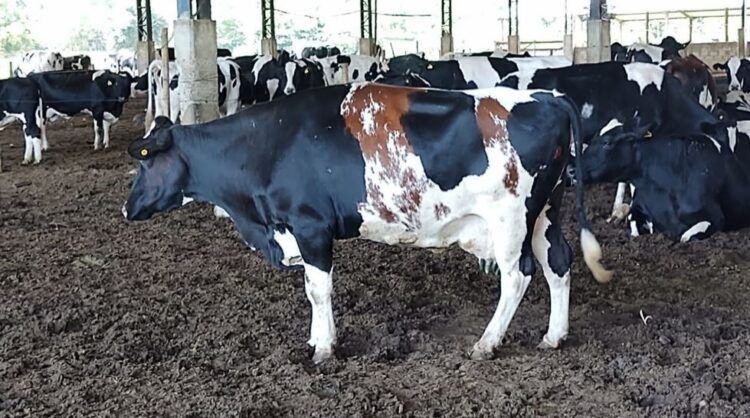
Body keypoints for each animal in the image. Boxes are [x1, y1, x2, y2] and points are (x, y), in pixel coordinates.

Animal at [122, 84, 612, 364]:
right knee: (559, 262)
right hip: (545, 210)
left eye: (145, 161)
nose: (127, 209)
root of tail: (548, 96)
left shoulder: (311, 227)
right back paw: (554, 336)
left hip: (511, 218)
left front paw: (323, 347)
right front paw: (315, 342)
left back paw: (487, 343)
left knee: (518, 275)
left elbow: (317, 290)